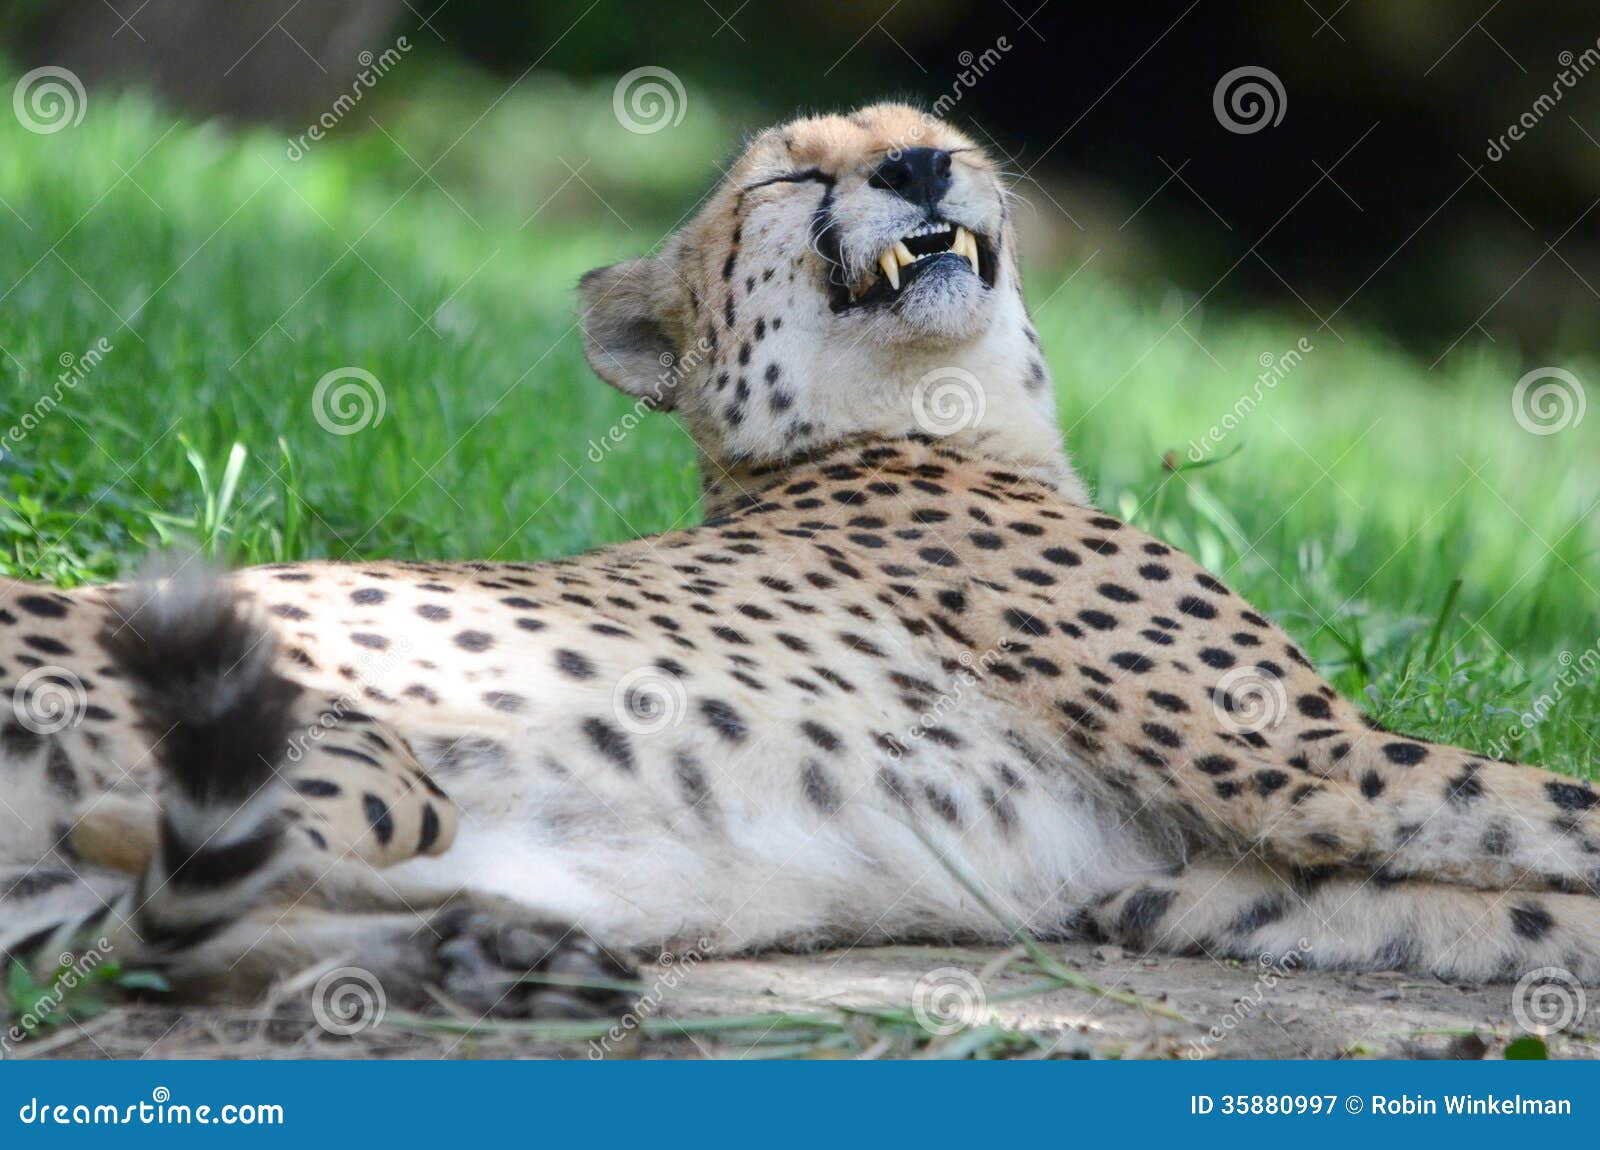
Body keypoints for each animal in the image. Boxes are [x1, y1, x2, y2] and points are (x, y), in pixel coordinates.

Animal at [3, 102, 1598, 1027]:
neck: (921, 421)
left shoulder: (1167, 875)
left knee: (124, 940)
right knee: (139, 906)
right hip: (349, 747)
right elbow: (1563, 809)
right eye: (791, 175)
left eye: (934, 128)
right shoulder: (1316, 763)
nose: (918, 167)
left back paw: (490, 955)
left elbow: (1518, 902)